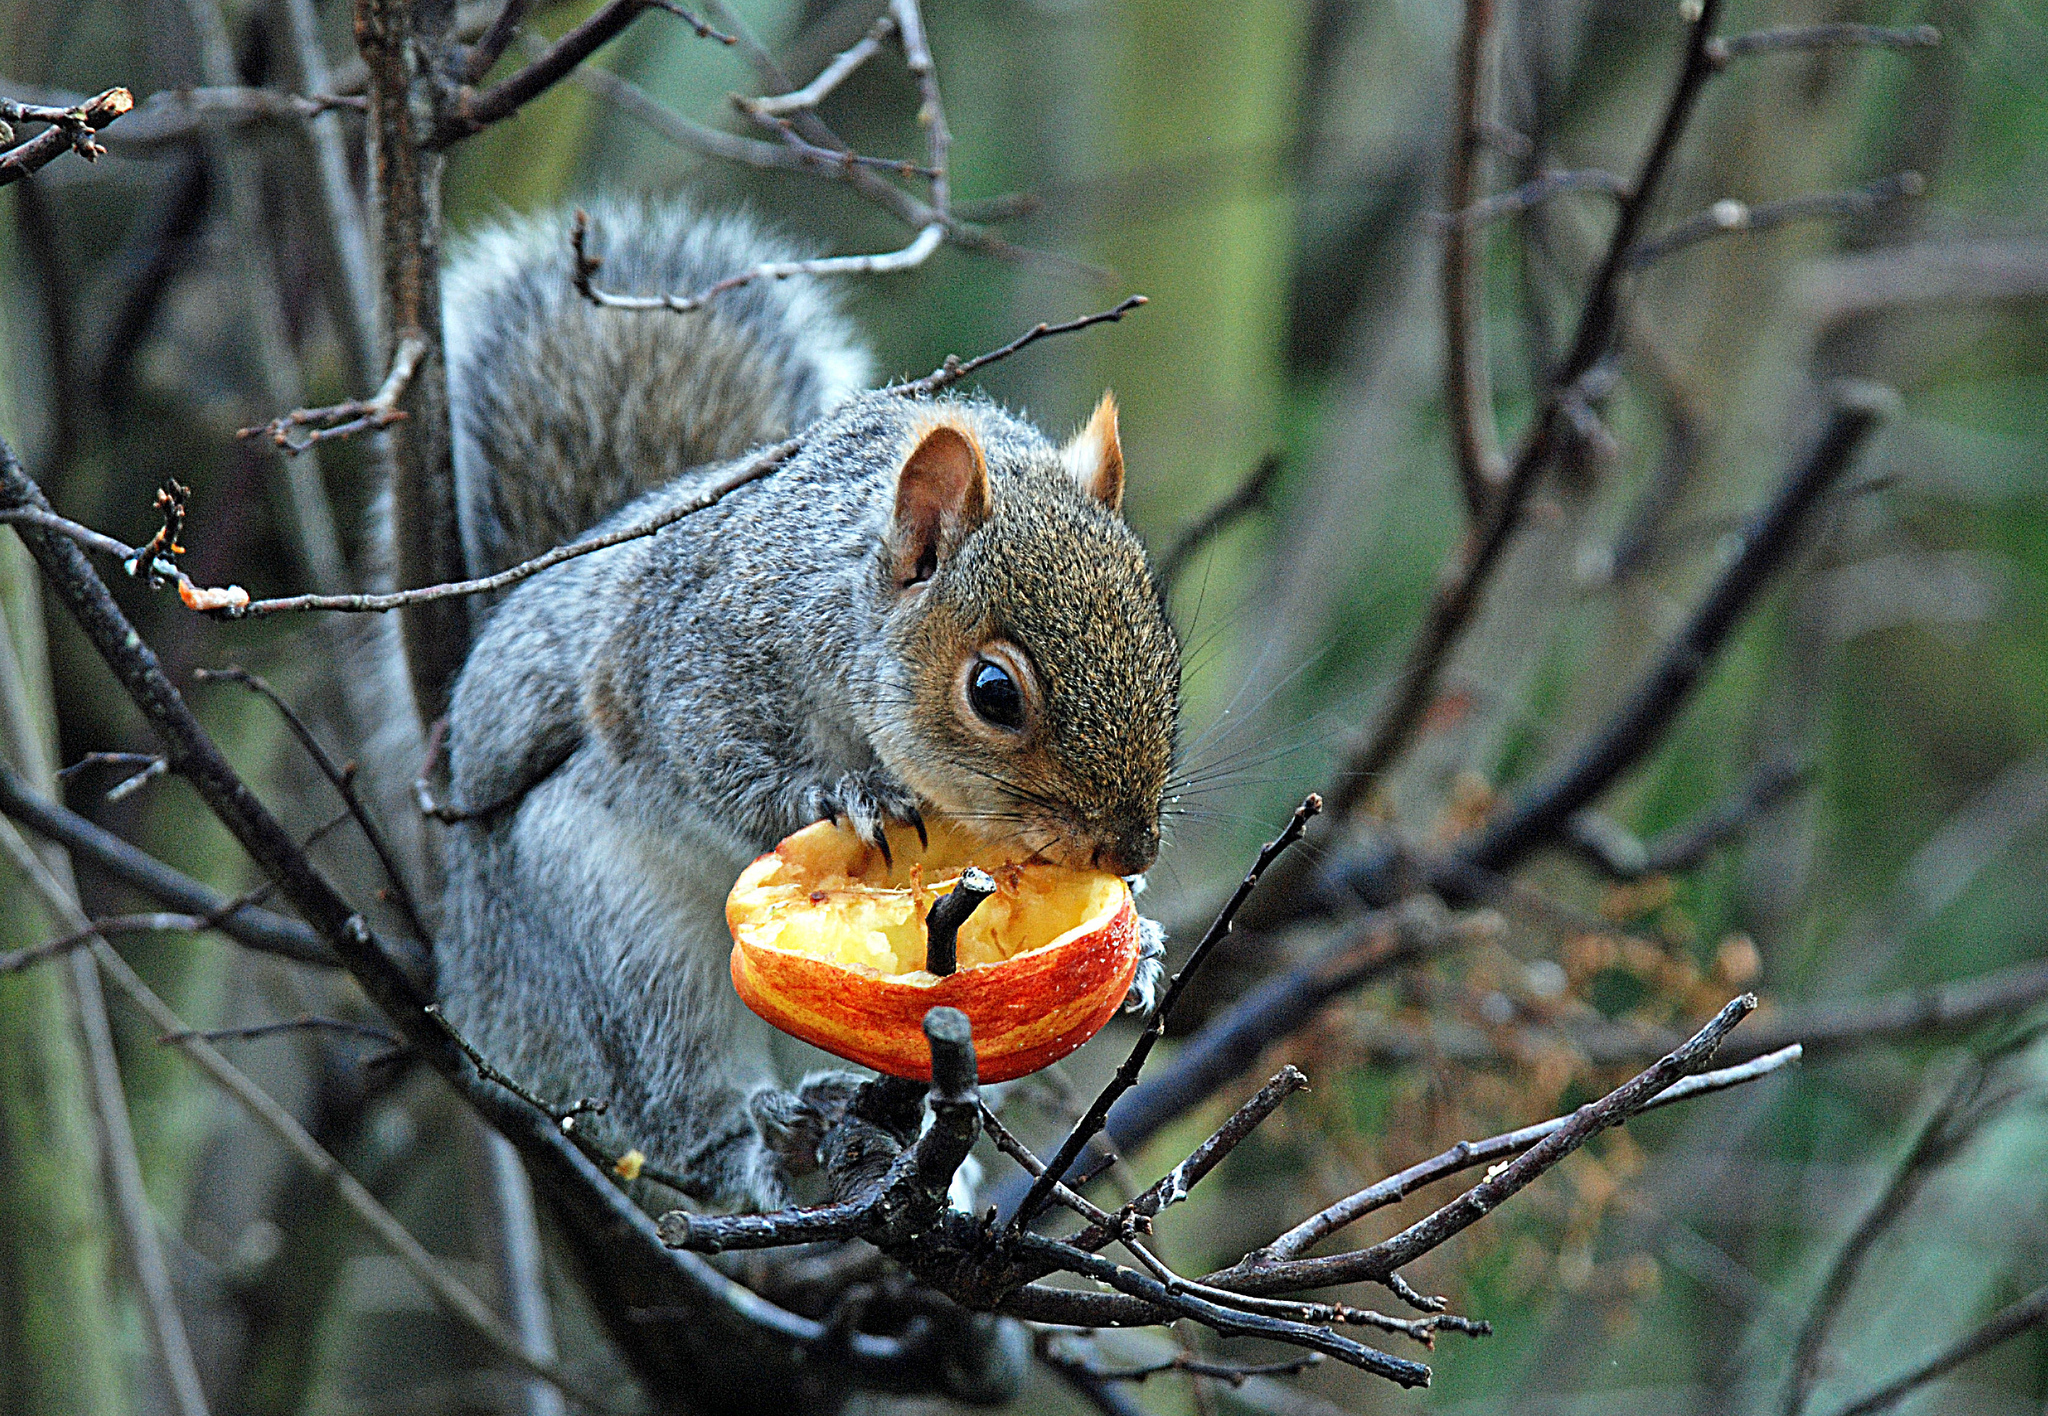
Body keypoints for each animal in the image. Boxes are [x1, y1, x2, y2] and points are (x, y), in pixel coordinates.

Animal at [430, 196, 1181, 1210]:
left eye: (1163, 644)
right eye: (993, 693)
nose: (1129, 851)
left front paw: (1142, 937)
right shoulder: (688, 661)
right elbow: (711, 761)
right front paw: (846, 799)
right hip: (610, 936)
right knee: (671, 1099)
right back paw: (766, 1145)